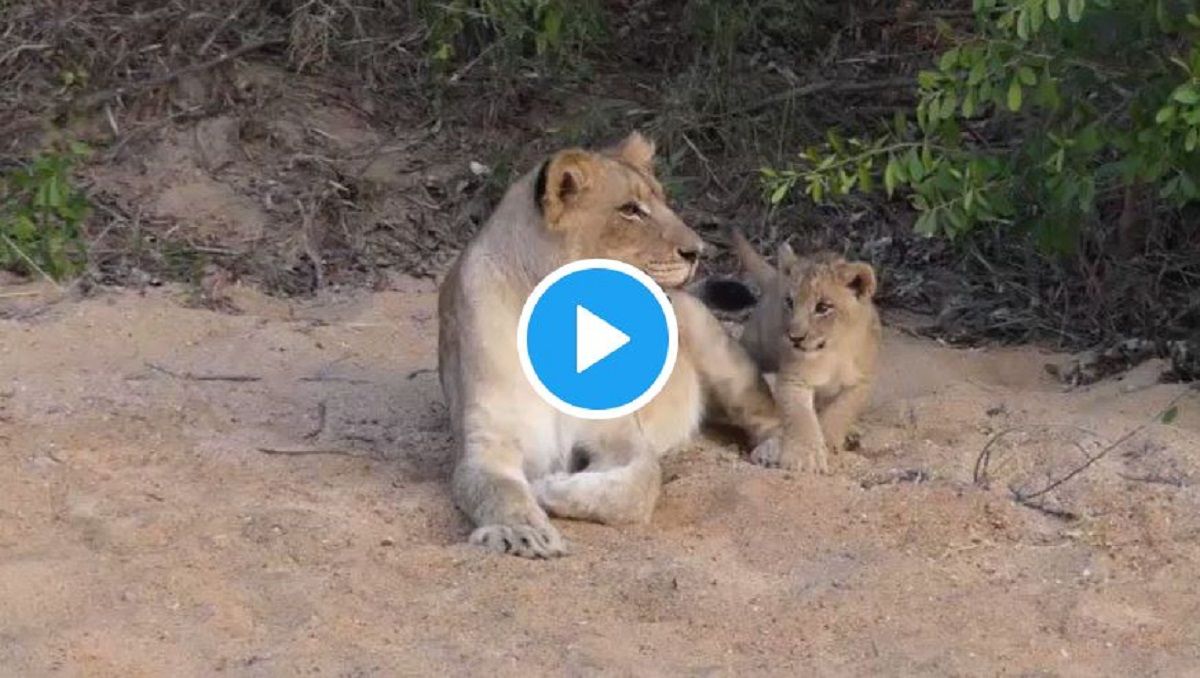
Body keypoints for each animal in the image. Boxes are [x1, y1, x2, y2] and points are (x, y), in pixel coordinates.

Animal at [437, 133, 782, 558]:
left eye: (663, 201)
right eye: (630, 210)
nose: (699, 251)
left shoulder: (626, 440)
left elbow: (636, 488)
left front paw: (551, 488)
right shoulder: (485, 444)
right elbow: (501, 492)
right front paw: (523, 532)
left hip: (718, 351)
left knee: (768, 408)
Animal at [703, 229, 881, 473]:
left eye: (823, 307)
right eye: (789, 302)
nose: (794, 337)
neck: (833, 351)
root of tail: (774, 280)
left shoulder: (861, 382)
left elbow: (840, 412)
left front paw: (829, 441)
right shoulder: (794, 379)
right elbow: (801, 417)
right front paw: (806, 456)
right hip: (756, 348)